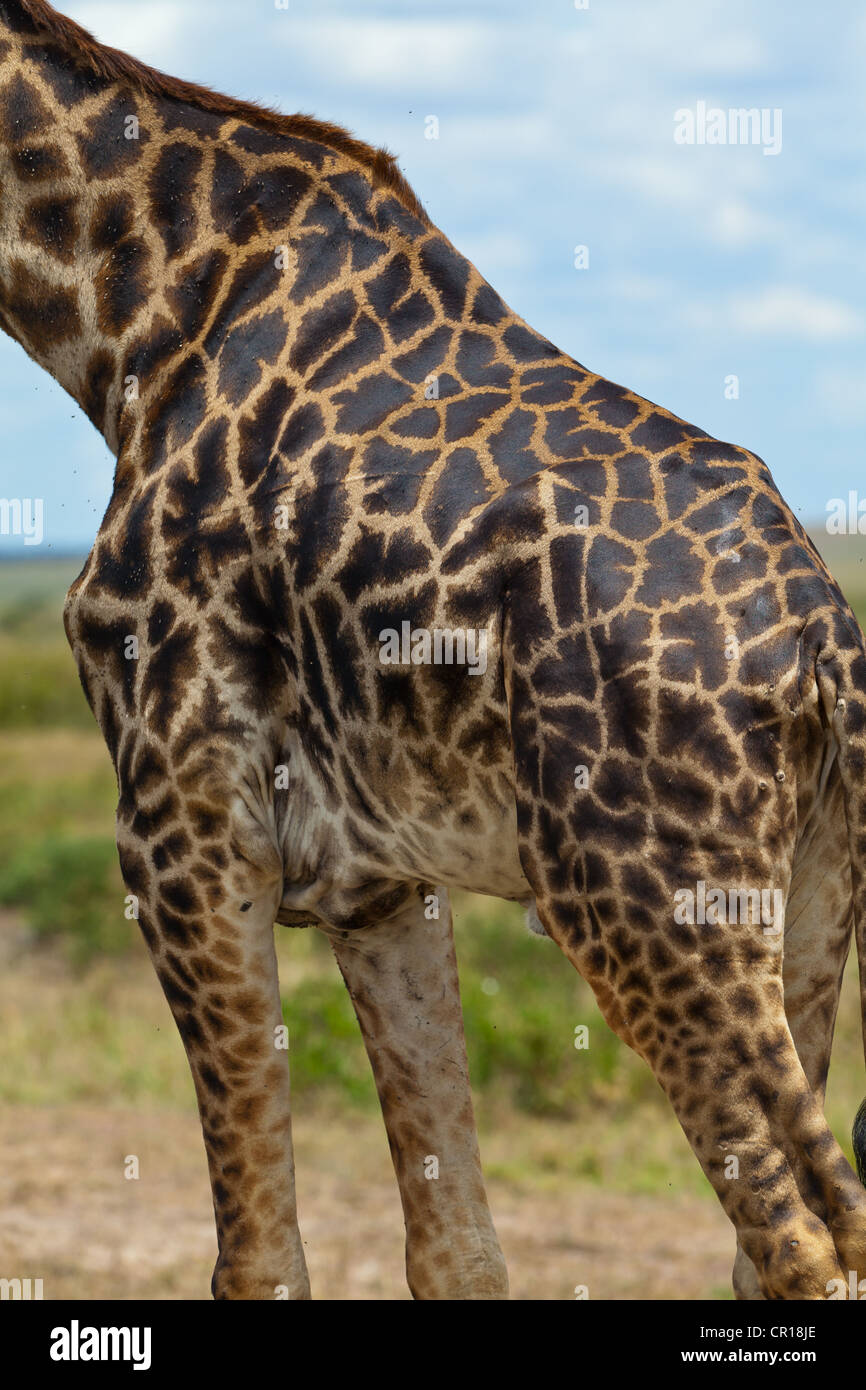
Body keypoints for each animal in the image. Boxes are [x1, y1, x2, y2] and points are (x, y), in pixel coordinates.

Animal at [2, 0, 866, 1302]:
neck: (128, 317)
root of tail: (821, 638)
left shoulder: (180, 830)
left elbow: (257, 1258)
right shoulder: (378, 877)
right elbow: (456, 1246)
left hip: (651, 911)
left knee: (802, 1238)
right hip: (811, 904)